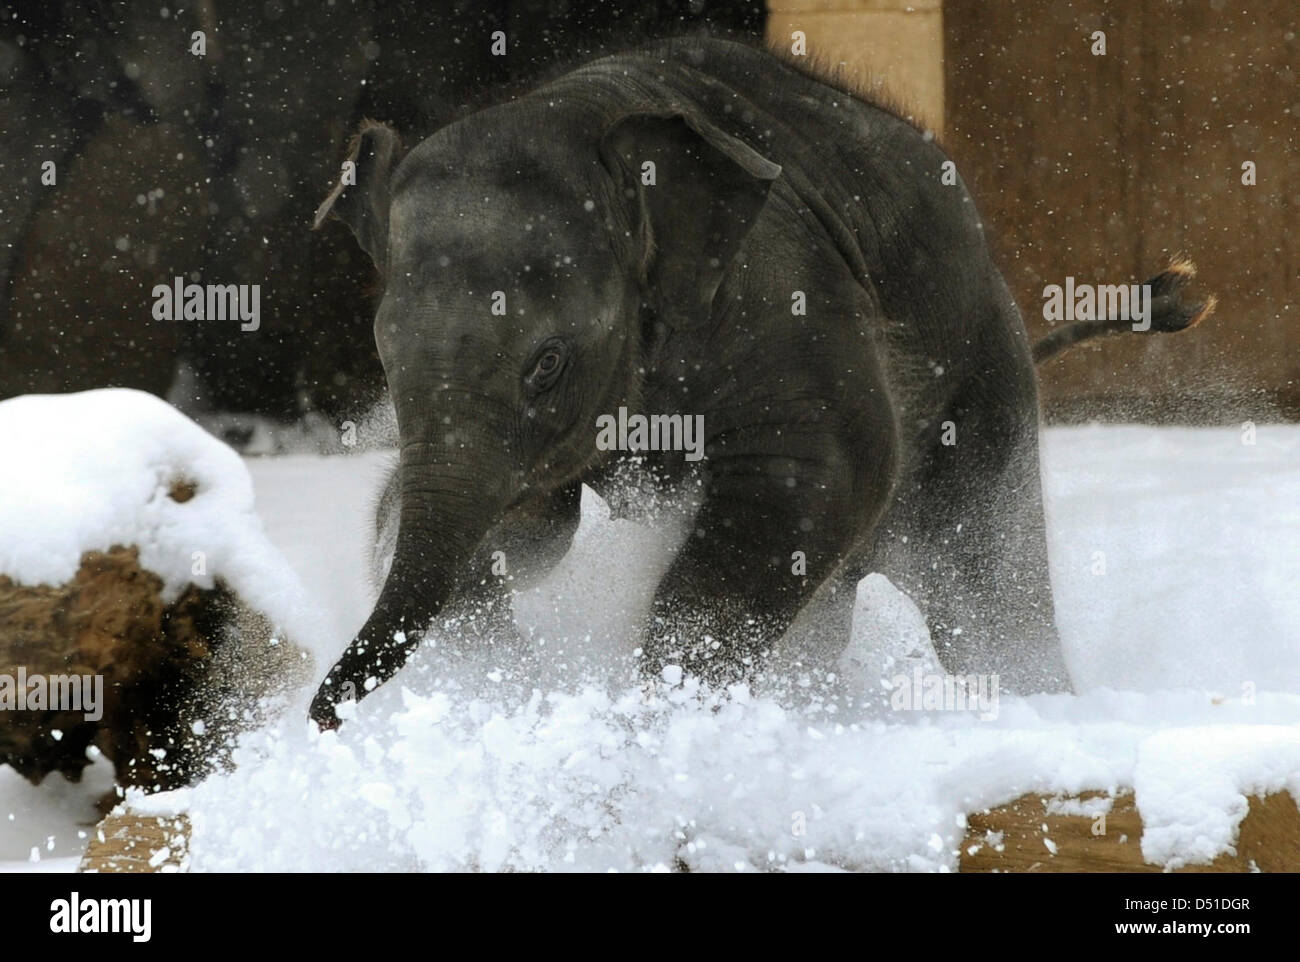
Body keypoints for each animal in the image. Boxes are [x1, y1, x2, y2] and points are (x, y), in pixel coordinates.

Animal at [308, 37, 1211, 727]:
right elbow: (528, 534)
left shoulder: (780, 293)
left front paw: (661, 706)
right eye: (385, 359)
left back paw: (1046, 707)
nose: (322, 714)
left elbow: (825, 467)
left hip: (985, 384)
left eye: (549, 363)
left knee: (983, 589)